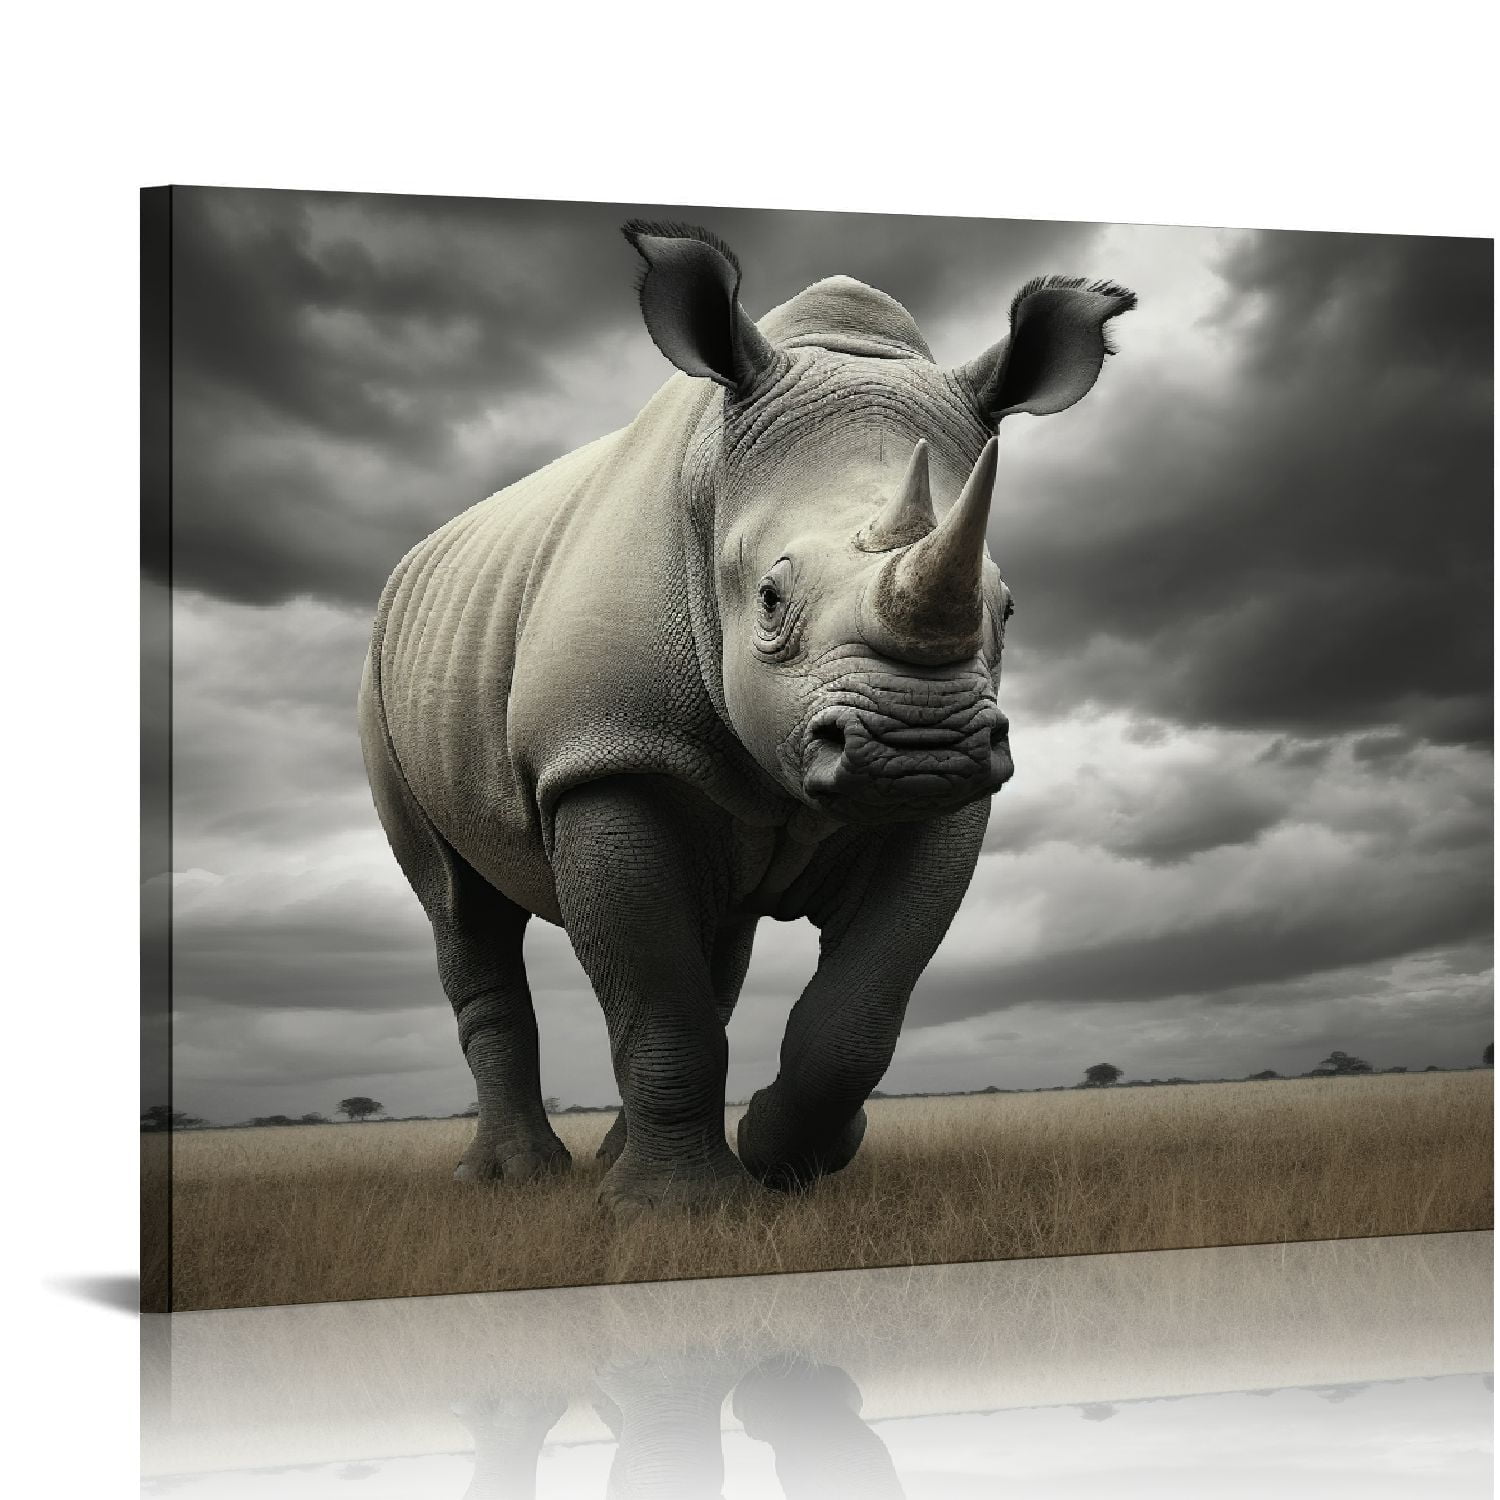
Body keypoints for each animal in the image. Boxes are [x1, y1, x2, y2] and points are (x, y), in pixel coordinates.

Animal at [359, 221, 1134, 1215]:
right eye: (768, 599)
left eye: (1007, 609)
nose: (919, 745)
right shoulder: (608, 755)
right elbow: (659, 999)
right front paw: (674, 1215)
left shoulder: (948, 806)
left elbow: (861, 1008)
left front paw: (785, 1158)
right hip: (382, 683)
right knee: (460, 909)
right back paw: (514, 1181)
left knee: (716, 948)